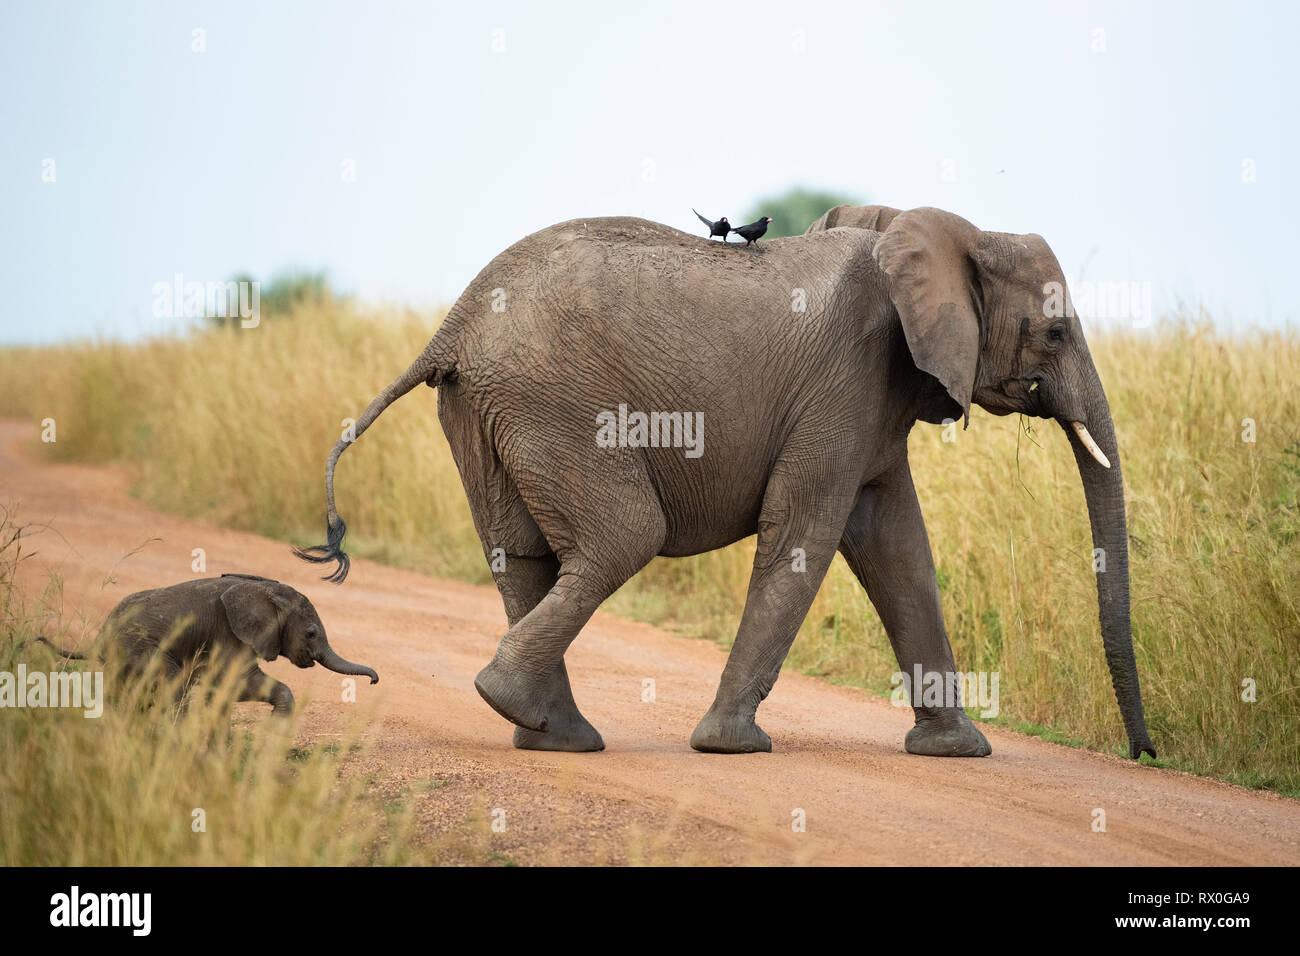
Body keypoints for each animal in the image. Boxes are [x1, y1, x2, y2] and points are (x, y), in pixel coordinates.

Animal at [41, 574, 378, 715]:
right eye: (310, 633)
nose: (375, 681)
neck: (265, 589)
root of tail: (99, 636)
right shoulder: (229, 633)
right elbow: (238, 682)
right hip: (141, 648)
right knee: (172, 685)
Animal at [297, 206, 1156, 761]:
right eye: (1056, 332)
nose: (1144, 752)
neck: (941, 230)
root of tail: (453, 326)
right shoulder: (846, 382)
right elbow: (806, 534)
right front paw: (732, 747)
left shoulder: (878, 401)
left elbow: (897, 550)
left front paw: (958, 750)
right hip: (556, 405)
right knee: (621, 539)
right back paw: (518, 704)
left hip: (485, 413)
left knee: (522, 555)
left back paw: (552, 735)